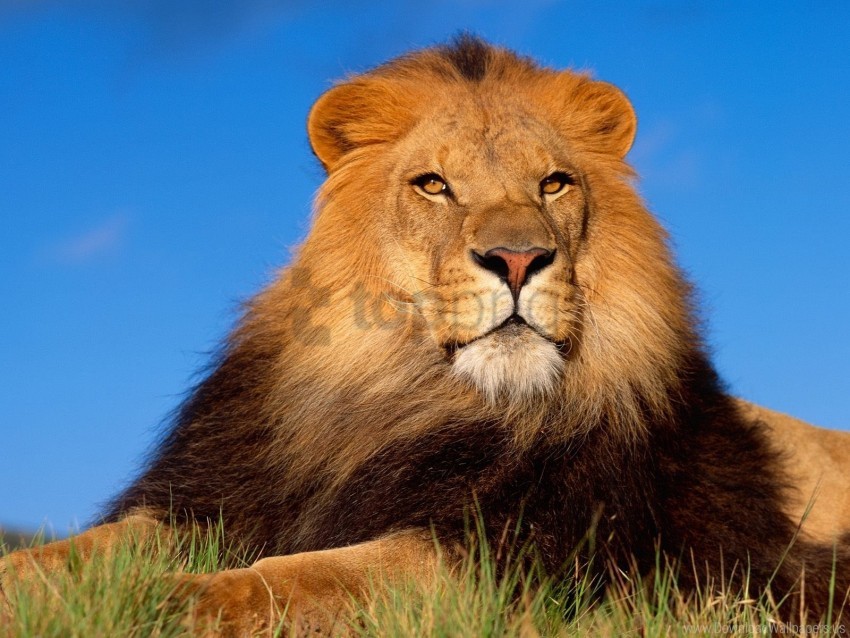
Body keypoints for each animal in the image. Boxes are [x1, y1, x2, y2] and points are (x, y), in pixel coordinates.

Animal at [3, 35, 850, 635]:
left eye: (554, 183)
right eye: (434, 185)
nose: (519, 258)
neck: (402, 398)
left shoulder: (508, 557)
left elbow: (295, 579)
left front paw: (166, 603)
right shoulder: (214, 502)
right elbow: (86, 549)